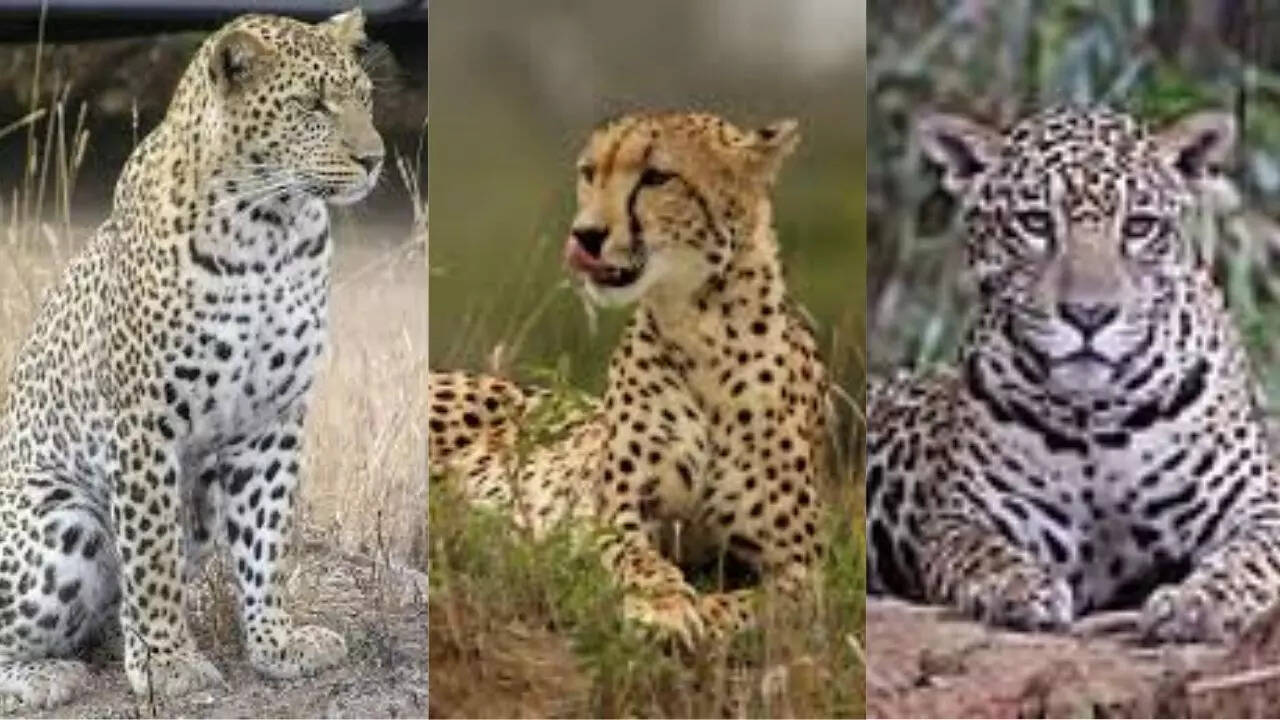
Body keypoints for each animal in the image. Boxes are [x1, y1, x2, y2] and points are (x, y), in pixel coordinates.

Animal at [0, 9, 383, 709]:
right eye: (311, 105)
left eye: (364, 100)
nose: (373, 160)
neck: (270, 231)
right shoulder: (143, 424)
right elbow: (150, 553)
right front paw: (168, 665)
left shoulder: (270, 420)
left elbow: (267, 539)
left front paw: (276, 644)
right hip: (66, 521)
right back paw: (47, 675)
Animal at [429, 111, 829, 645]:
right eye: (589, 173)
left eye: (657, 178)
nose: (585, 235)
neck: (704, 330)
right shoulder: (614, 512)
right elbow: (640, 560)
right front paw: (665, 606)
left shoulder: (801, 570)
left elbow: (762, 608)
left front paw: (708, 613)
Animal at [867, 105, 1280, 643]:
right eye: (1035, 222)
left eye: (1139, 226)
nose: (1089, 314)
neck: (1096, 416)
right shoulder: (961, 517)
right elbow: (981, 553)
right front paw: (1022, 588)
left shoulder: (1261, 506)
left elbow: (1249, 559)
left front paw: (1199, 602)